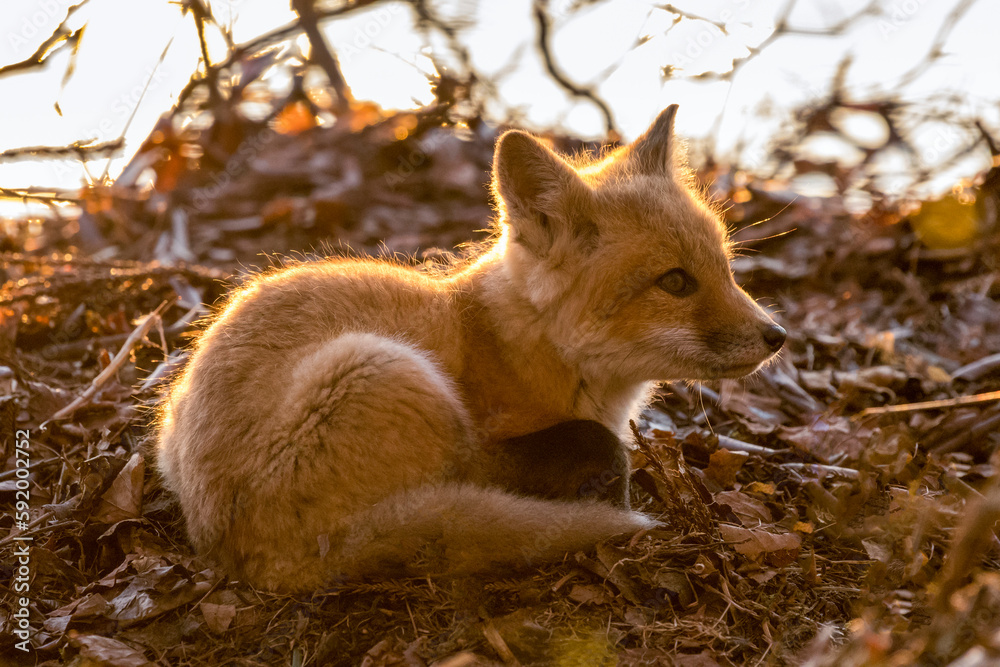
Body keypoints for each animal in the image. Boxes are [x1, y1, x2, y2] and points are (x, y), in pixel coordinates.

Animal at [155, 105, 786, 592]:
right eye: (675, 282)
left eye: (725, 268)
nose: (777, 336)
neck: (516, 344)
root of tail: (232, 552)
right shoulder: (491, 441)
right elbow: (597, 449)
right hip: (384, 370)